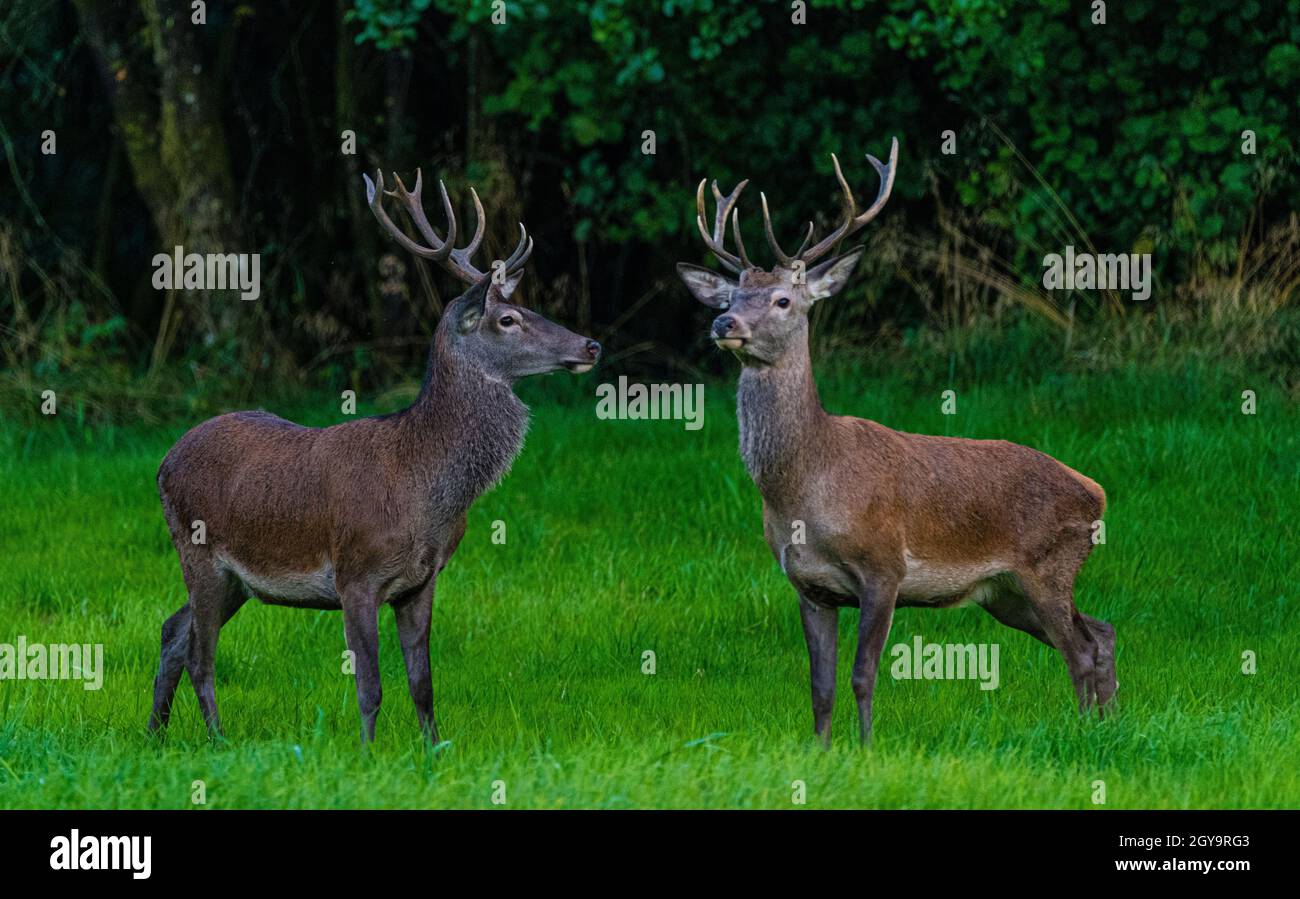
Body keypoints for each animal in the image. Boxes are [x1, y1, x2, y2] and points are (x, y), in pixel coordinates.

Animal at [150, 168, 601, 743]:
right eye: (507, 319)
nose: (591, 345)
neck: (425, 488)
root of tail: (164, 461)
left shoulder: (422, 581)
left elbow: (422, 683)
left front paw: (434, 751)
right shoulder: (355, 575)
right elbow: (371, 686)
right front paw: (365, 754)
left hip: (236, 581)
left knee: (172, 631)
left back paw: (155, 735)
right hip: (199, 552)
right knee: (200, 656)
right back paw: (218, 741)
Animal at [676, 138, 1116, 744]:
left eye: (784, 300)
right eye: (732, 296)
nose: (725, 324)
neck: (804, 487)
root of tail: (1096, 491)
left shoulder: (884, 567)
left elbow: (863, 674)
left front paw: (865, 749)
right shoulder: (807, 585)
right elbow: (820, 685)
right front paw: (820, 752)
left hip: (1048, 563)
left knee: (1080, 650)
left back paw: (1085, 732)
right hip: (1006, 593)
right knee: (1103, 631)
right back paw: (1111, 725)